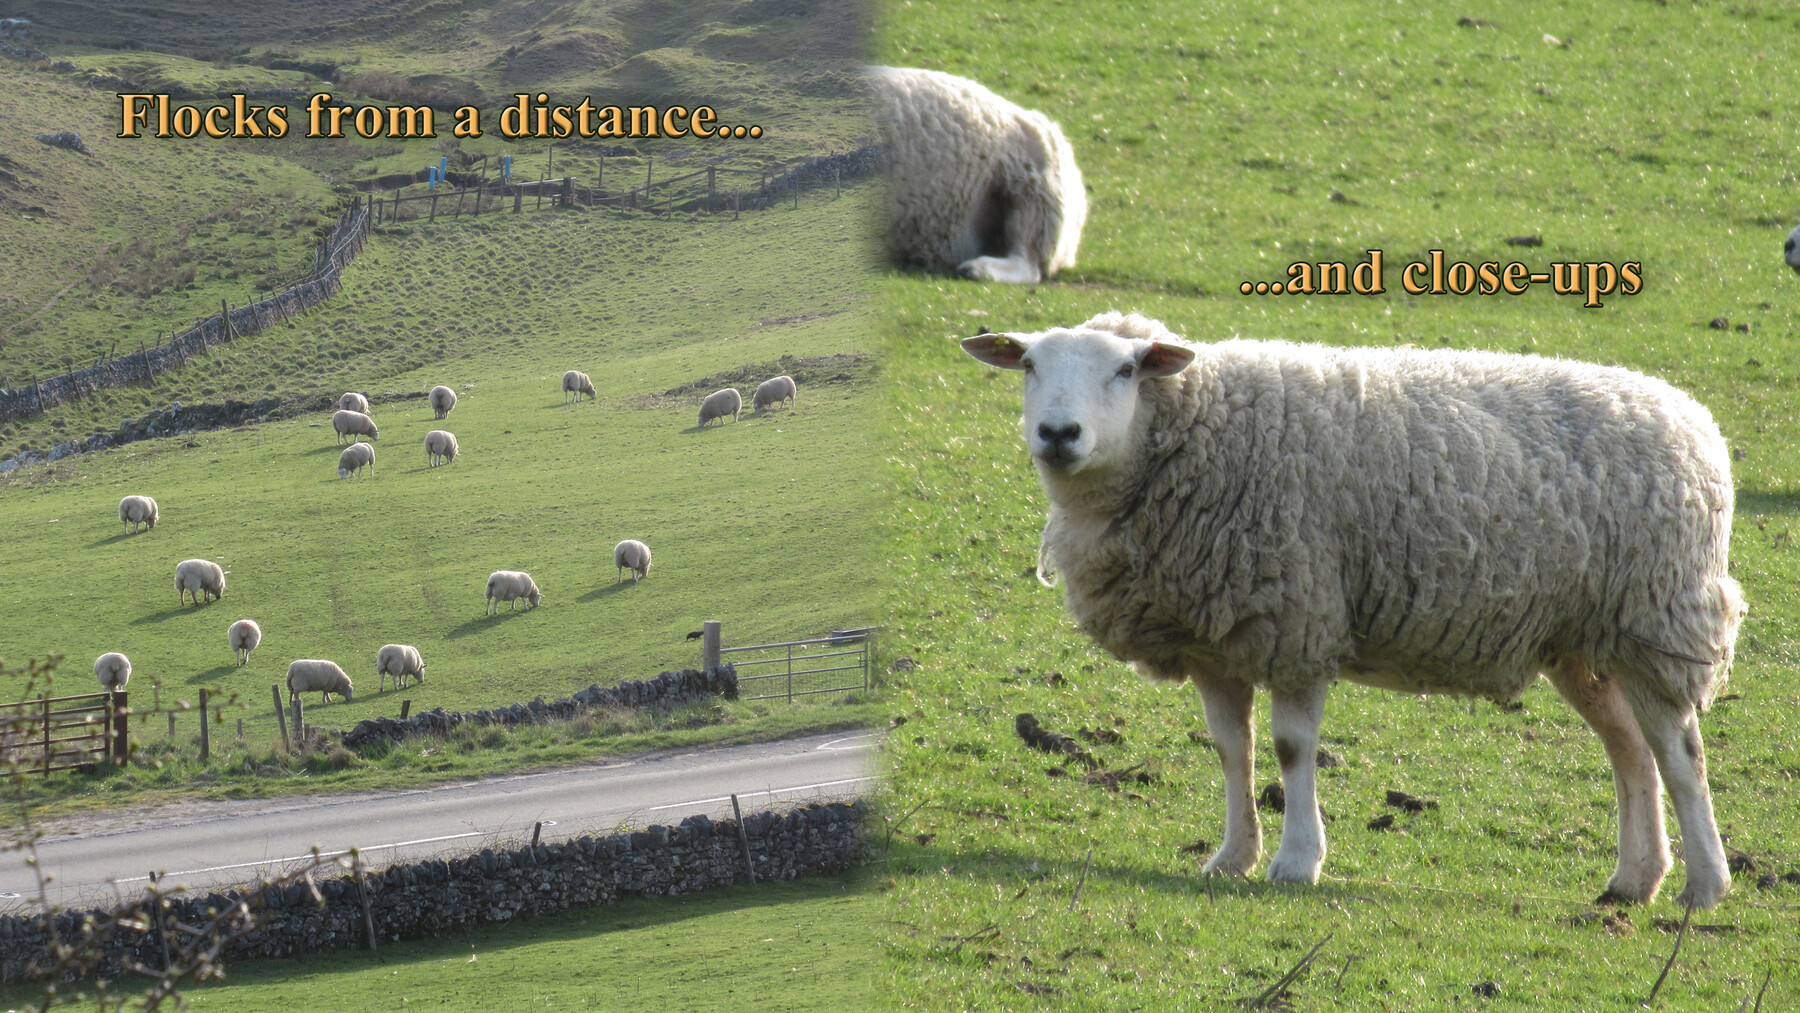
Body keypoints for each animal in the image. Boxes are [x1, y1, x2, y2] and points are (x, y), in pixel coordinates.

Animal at [962, 311, 1746, 910]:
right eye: (1027, 363)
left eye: (1126, 370)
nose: (1058, 434)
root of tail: (1695, 420)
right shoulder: (1215, 638)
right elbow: (1232, 747)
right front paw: (1232, 856)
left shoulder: (1298, 617)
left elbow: (1289, 748)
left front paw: (1296, 861)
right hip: (1583, 641)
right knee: (1630, 749)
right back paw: (1633, 881)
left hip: (1657, 621)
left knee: (1681, 754)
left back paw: (1704, 886)